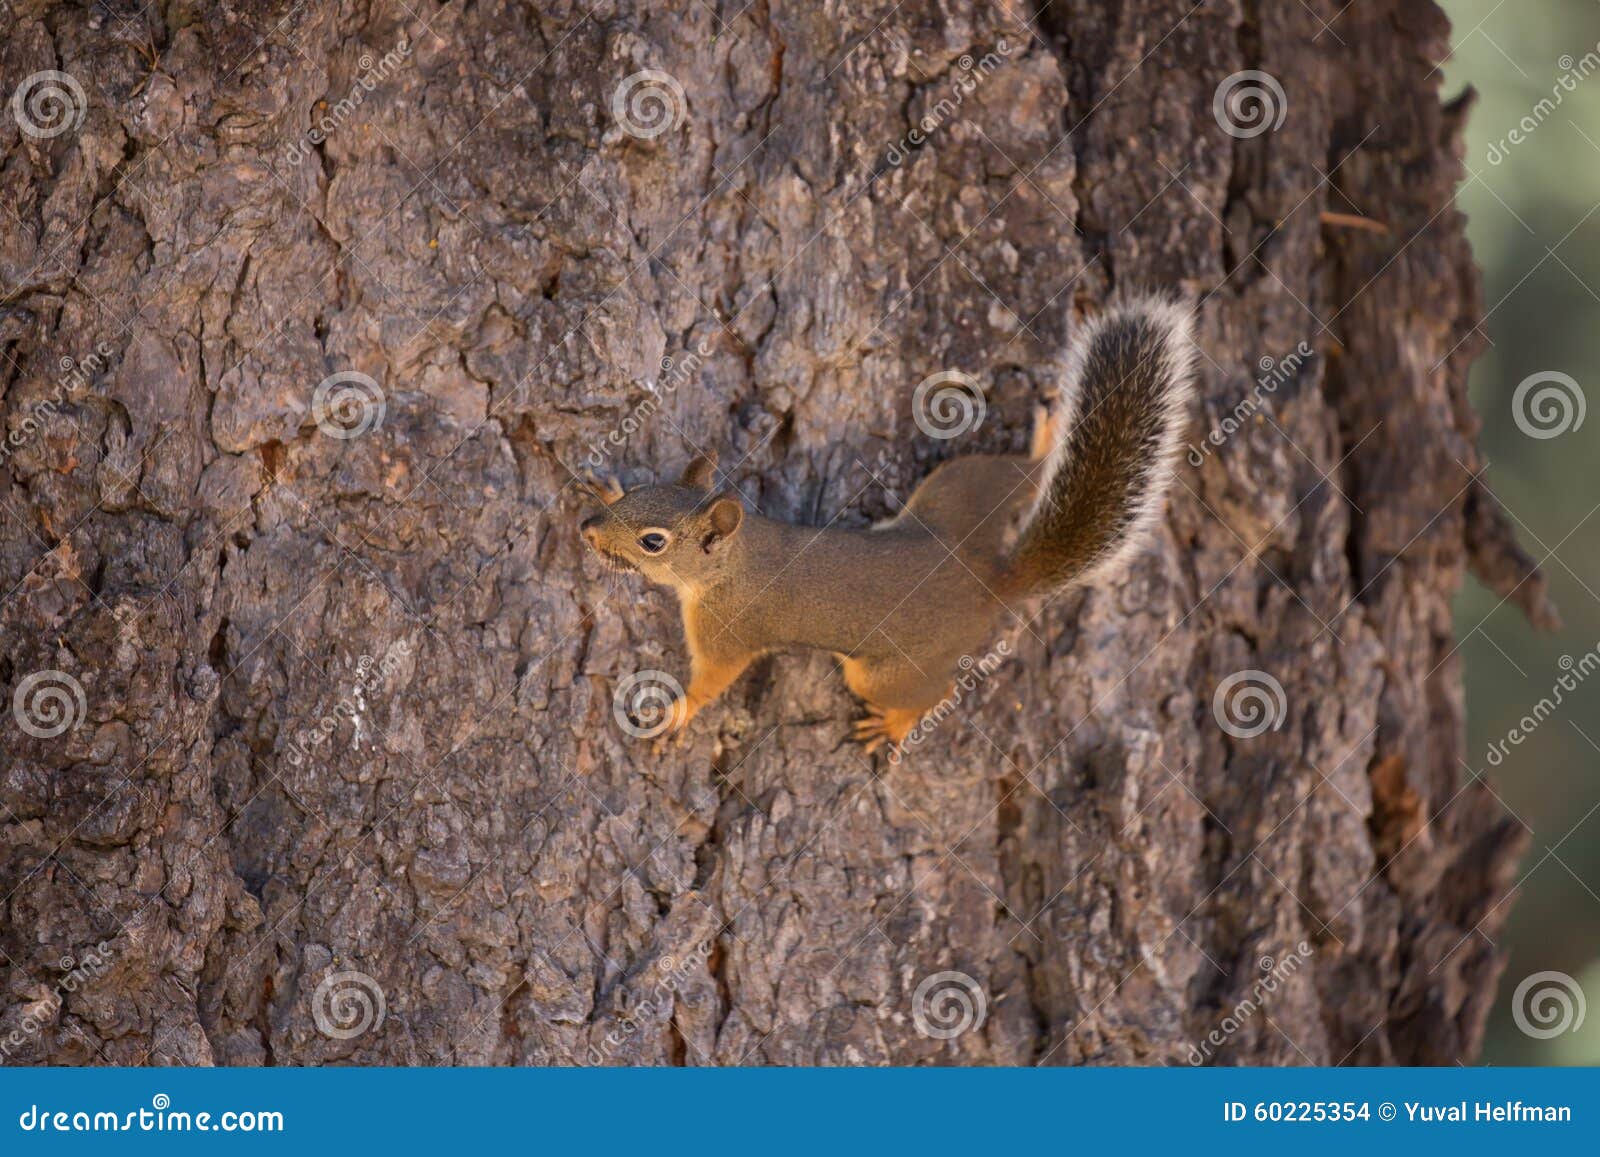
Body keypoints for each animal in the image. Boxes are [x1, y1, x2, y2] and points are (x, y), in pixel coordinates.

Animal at [580, 294, 1197, 753]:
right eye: (641, 491)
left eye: (653, 542)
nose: (588, 531)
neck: (733, 560)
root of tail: (987, 581)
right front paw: (599, 488)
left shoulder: (728, 631)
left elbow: (712, 680)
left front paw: (679, 713)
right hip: (957, 490)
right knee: (1023, 474)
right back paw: (1046, 438)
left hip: (886, 671)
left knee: (934, 691)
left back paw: (895, 725)